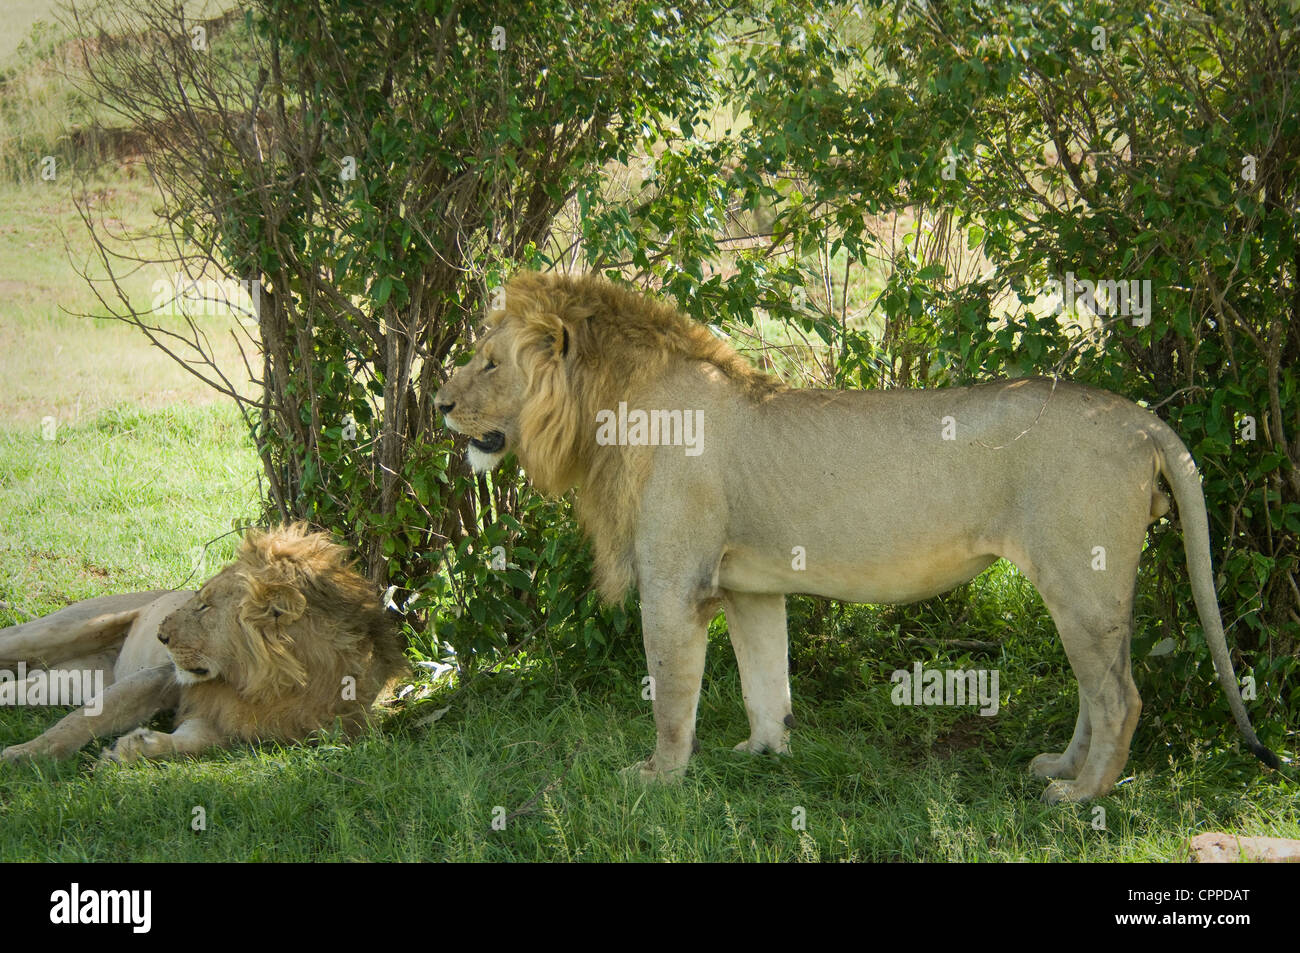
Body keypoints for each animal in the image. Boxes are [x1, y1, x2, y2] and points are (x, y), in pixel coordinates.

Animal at [0, 524, 408, 764]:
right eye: (197, 597)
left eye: (205, 606)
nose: (161, 636)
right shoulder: (163, 676)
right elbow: (81, 720)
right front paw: (23, 754)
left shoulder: (239, 721)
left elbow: (196, 743)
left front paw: (134, 748)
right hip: (59, 631)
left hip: (74, 678)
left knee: (14, 690)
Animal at [435, 270, 1280, 803]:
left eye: (488, 362)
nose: (439, 403)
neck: (604, 413)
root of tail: (1139, 417)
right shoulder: (747, 588)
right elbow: (764, 681)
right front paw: (763, 754)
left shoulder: (676, 584)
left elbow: (672, 694)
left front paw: (659, 777)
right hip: (1089, 584)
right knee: (1100, 688)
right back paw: (1057, 768)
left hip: (1079, 578)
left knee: (1121, 696)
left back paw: (1082, 797)